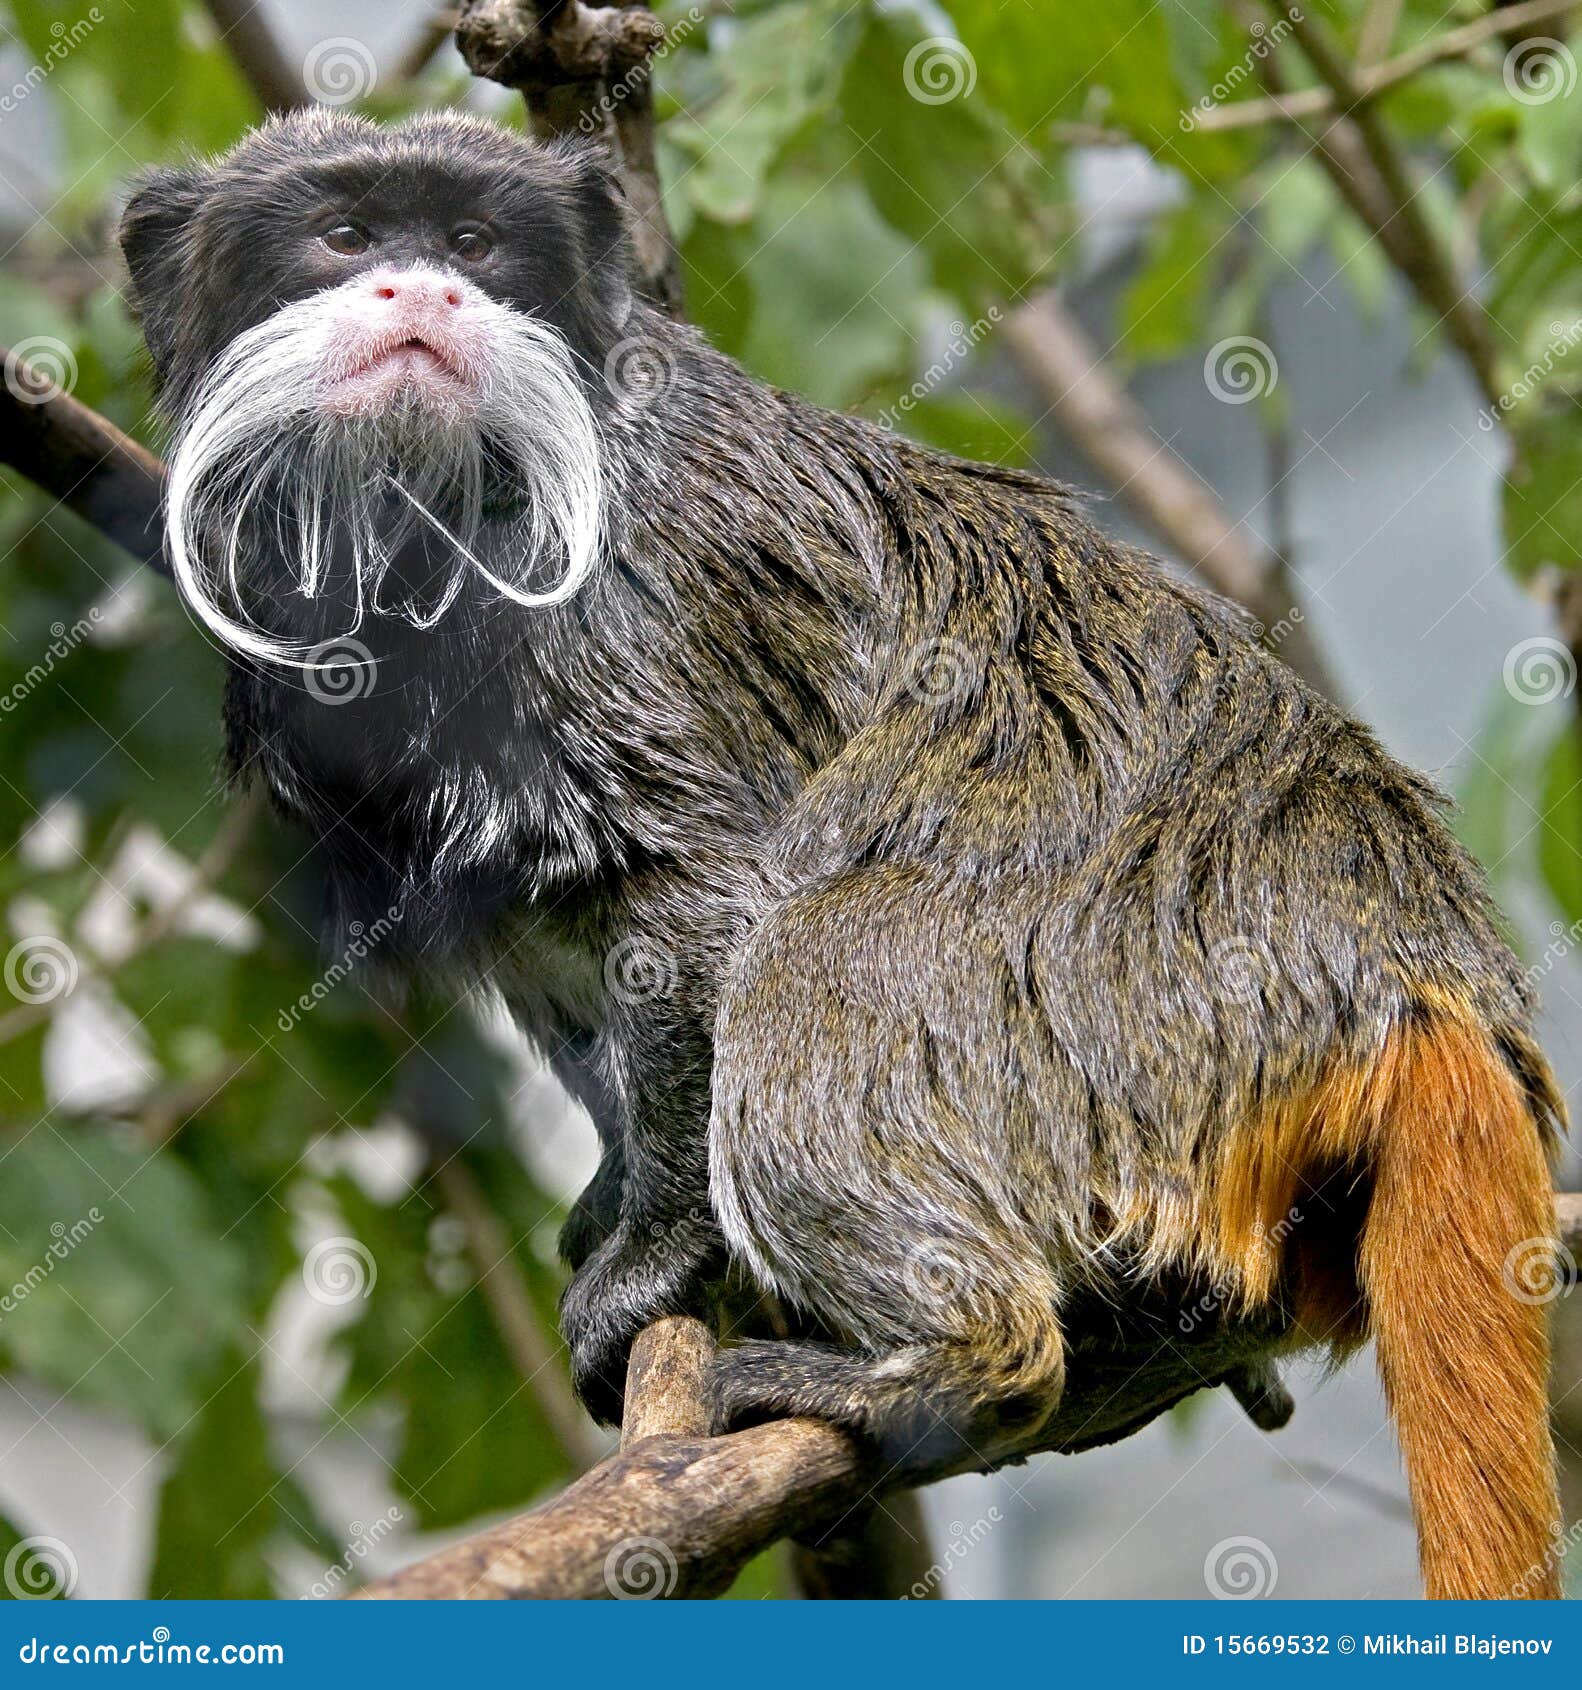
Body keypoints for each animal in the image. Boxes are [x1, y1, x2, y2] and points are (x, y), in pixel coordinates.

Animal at [117, 108, 1566, 1601]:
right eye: (344, 237)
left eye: (476, 243)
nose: (425, 292)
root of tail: (1413, 966)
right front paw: (610, 1193)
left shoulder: (640, 581)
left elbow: (701, 904)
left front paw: (656, 1258)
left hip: (1133, 984)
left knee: (818, 962)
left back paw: (951, 1370)